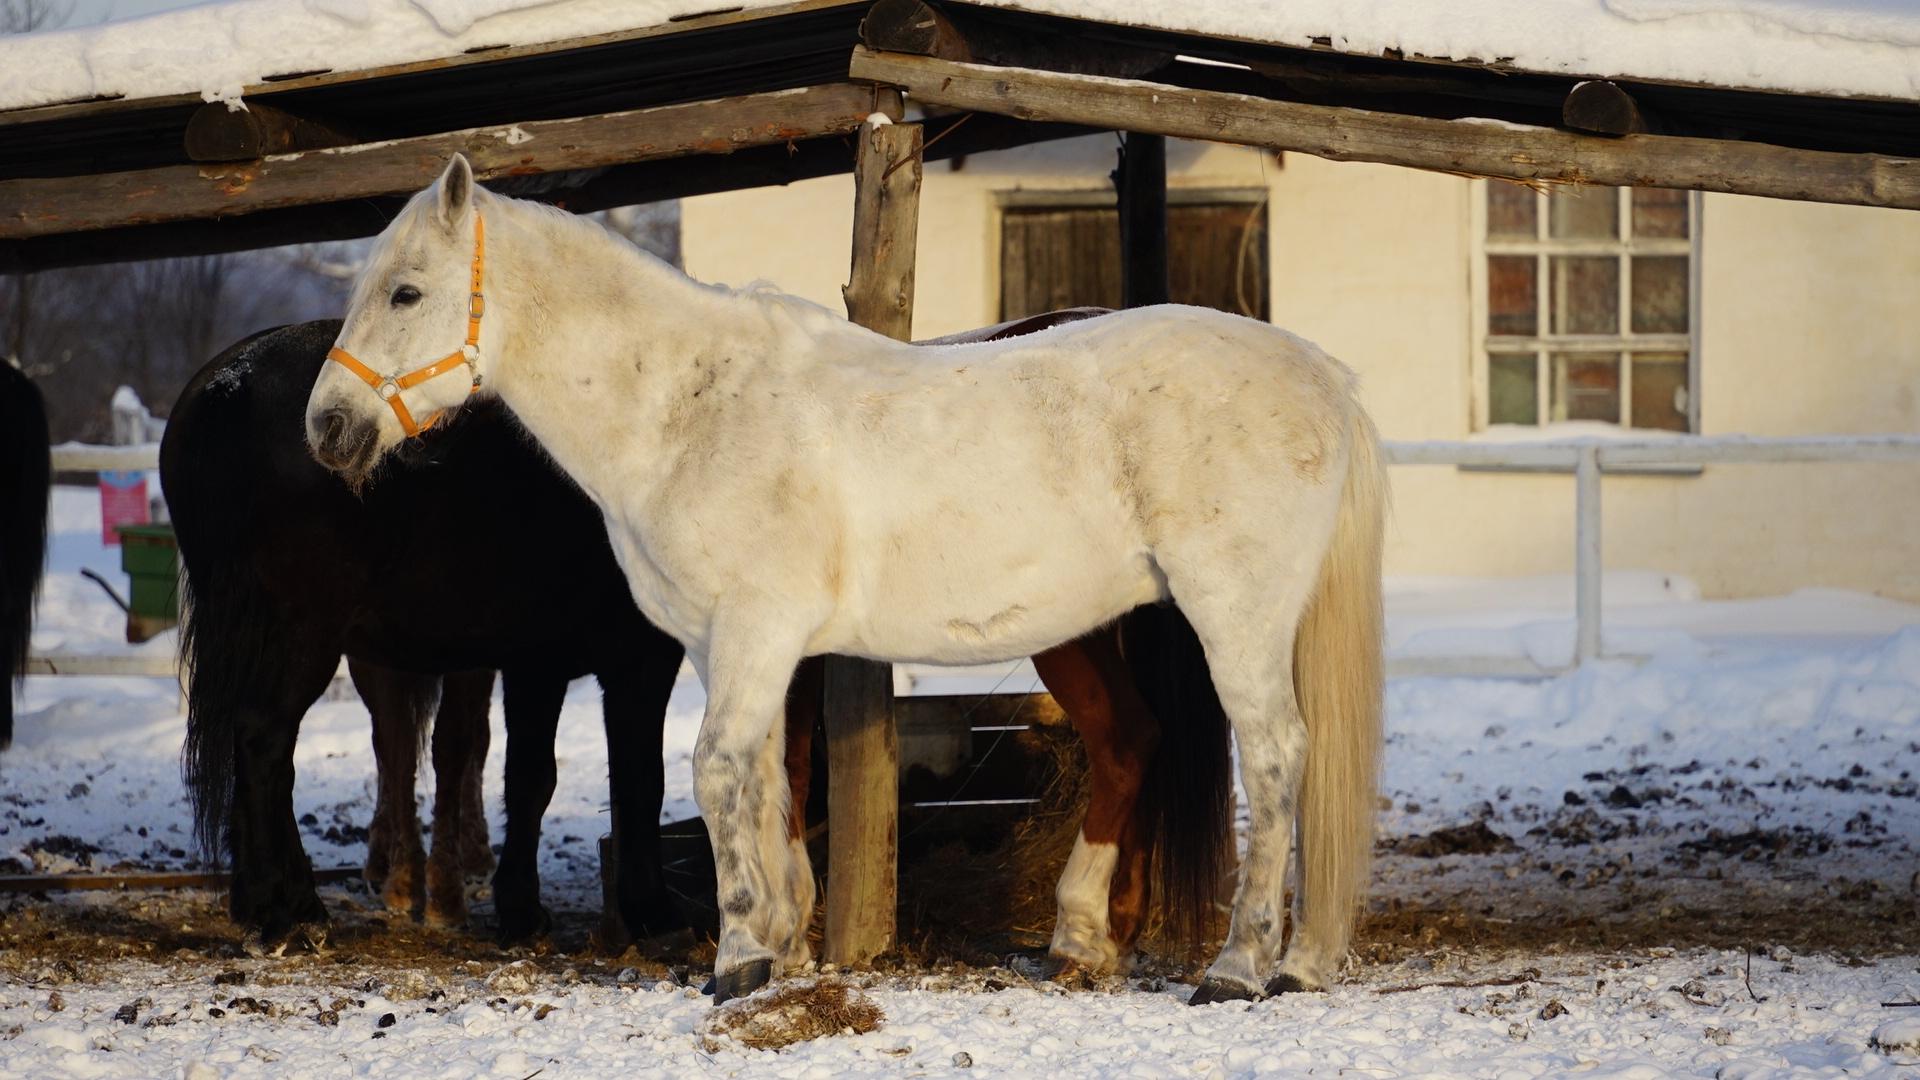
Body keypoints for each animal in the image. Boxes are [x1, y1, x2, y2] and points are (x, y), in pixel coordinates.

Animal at [165, 317, 691, 941]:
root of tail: (230, 385)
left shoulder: (586, 664)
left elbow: (608, 779)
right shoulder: (573, 663)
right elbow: (566, 778)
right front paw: (584, 910)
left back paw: (271, 902)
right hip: (298, 636)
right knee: (263, 741)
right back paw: (285, 913)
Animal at [303, 151, 1382, 999]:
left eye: (406, 291)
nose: (327, 428)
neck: (690, 409)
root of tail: (1320, 375)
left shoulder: (754, 631)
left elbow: (719, 770)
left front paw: (739, 956)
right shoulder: (734, 647)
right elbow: (769, 783)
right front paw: (783, 943)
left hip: (1232, 614)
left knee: (1276, 756)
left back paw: (1240, 968)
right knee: (1138, 741)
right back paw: (1137, 945)